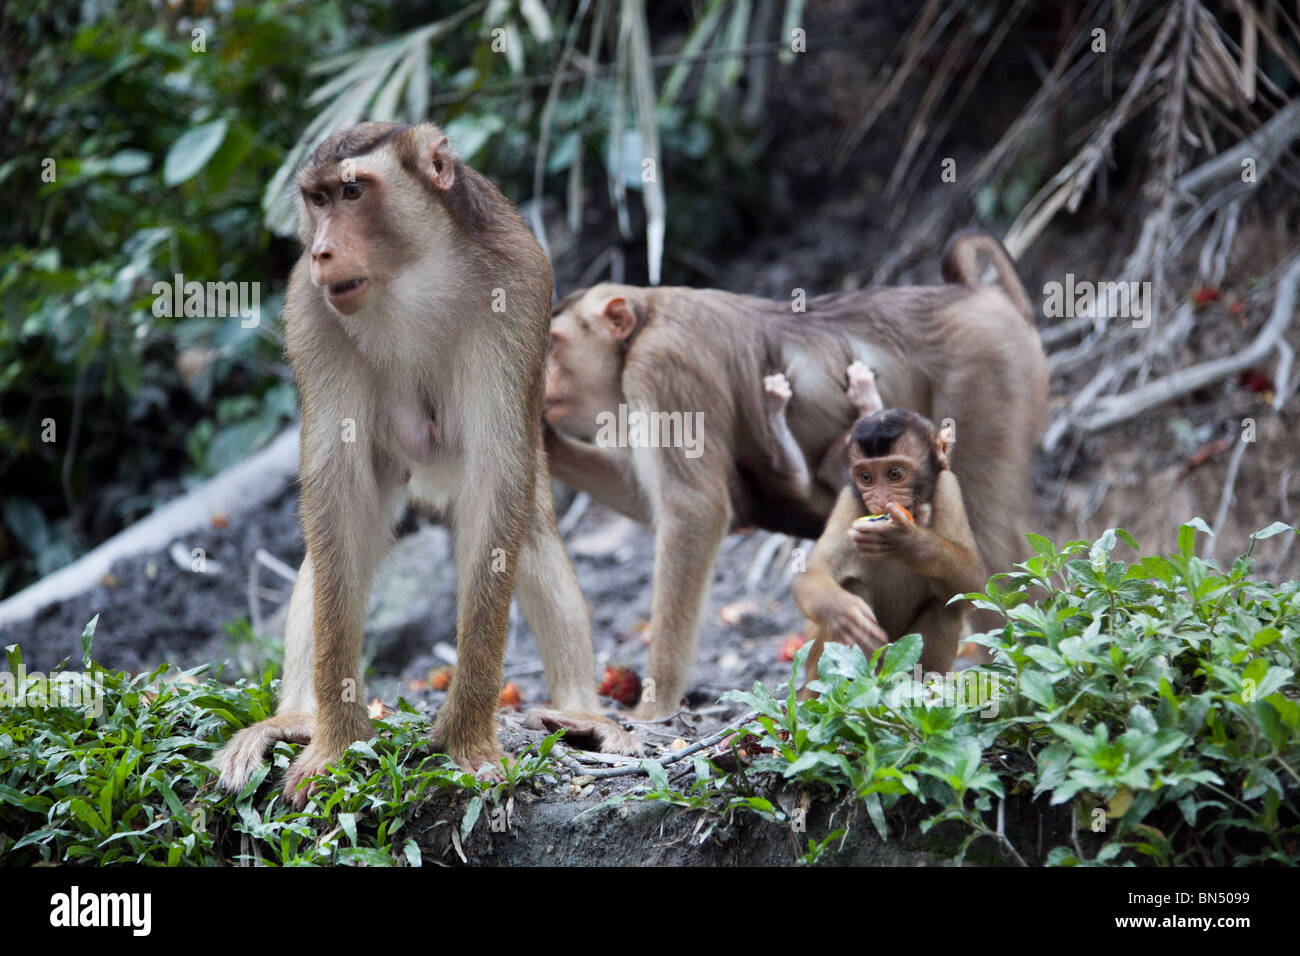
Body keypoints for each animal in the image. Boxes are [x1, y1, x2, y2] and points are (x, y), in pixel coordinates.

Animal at [213, 122, 637, 807]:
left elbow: (498, 487)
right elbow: (338, 498)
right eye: (317, 200)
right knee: (333, 547)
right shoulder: (310, 313)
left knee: (533, 530)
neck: (411, 276)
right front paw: (336, 742)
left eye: (353, 192)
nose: (320, 252)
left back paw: (580, 712)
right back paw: (297, 717)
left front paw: (466, 735)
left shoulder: (518, 286)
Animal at [791, 389, 984, 685]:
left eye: (894, 473)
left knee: (945, 606)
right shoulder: (849, 503)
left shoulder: (948, 488)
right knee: (852, 588)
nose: (881, 501)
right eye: (866, 477)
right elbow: (810, 574)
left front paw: (907, 542)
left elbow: (973, 585)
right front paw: (842, 614)